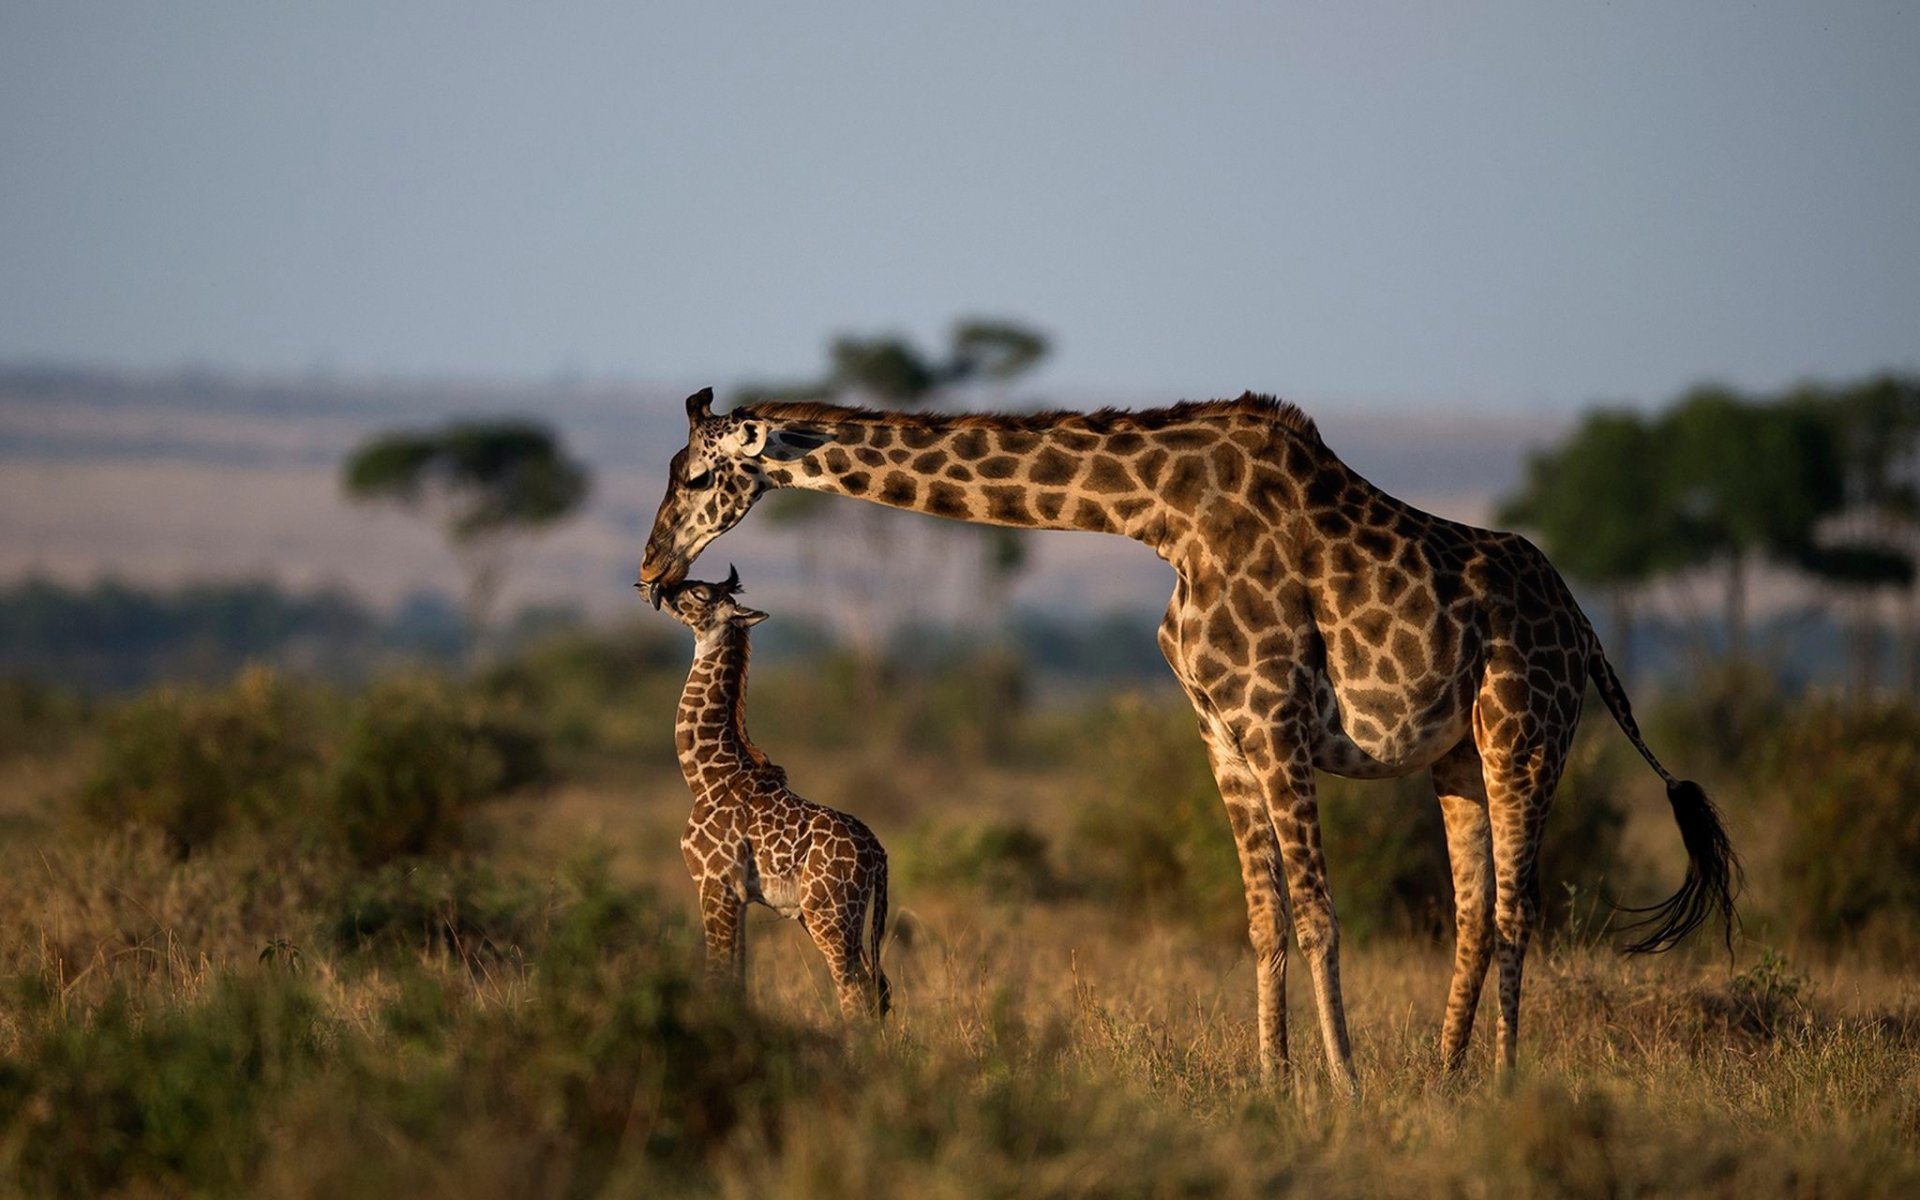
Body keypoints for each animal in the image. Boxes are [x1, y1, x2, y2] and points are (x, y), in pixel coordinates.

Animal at [655, 567, 891, 1019]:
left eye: (700, 593)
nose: (662, 589)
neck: (707, 775)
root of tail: (878, 854)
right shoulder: (743, 895)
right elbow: (737, 975)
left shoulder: (715, 882)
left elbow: (719, 972)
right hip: (837, 917)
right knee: (878, 990)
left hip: (830, 913)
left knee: (854, 991)